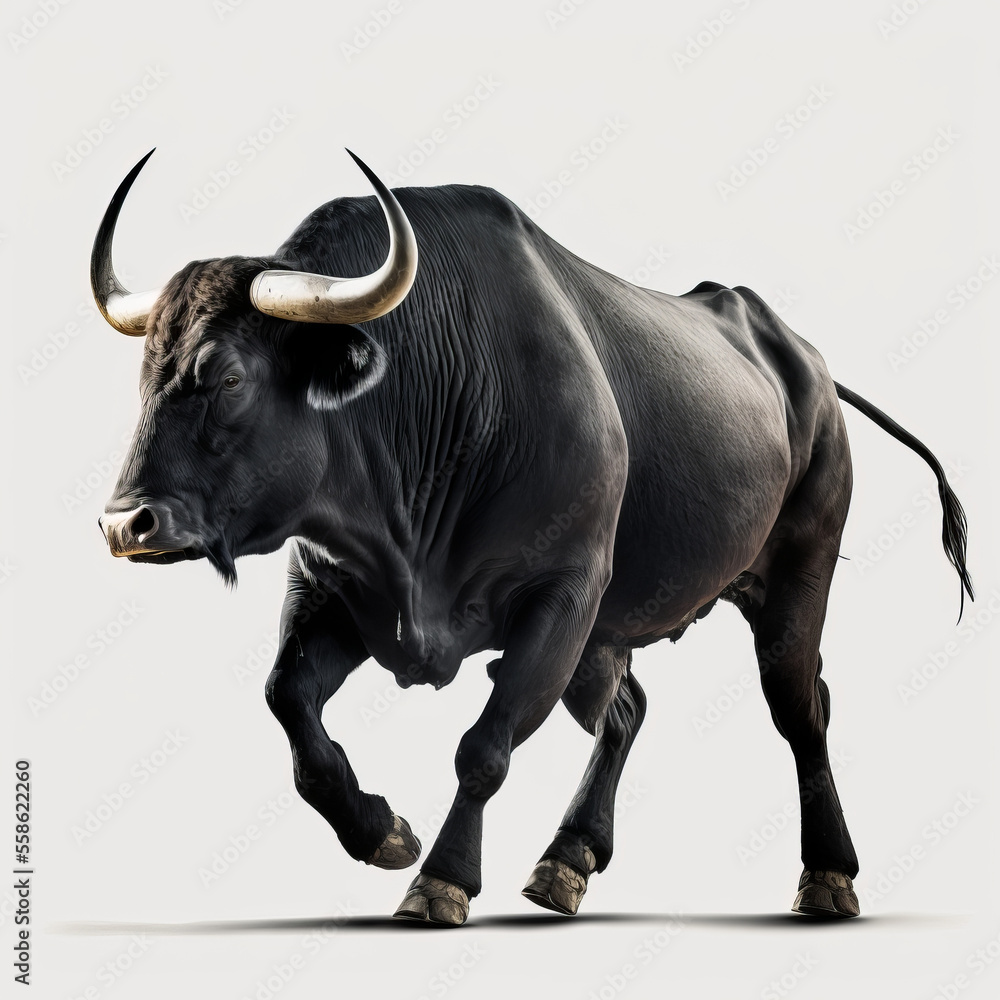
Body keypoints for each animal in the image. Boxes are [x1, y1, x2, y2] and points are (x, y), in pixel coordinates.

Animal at [92, 150, 973, 926]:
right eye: (146, 374)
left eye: (230, 376)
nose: (125, 522)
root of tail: (806, 363)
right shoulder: (337, 591)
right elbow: (288, 702)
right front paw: (379, 830)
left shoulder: (563, 597)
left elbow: (484, 747)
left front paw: (441, 878)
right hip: (614, 632)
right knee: (626, 710)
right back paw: (569, 856)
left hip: (798, 574)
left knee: (801, 710)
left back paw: (828, 874)